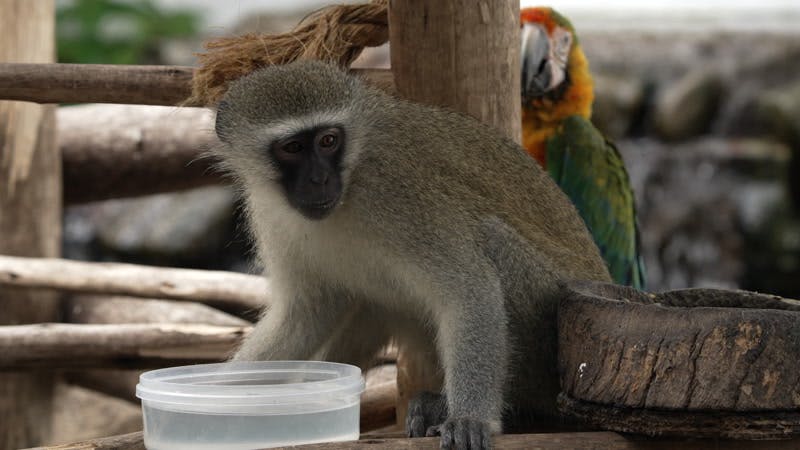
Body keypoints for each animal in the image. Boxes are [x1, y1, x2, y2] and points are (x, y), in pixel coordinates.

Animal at [211, 60, 611, 449]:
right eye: (293, 148)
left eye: (328, 141)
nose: (319, 180)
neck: (352, 178)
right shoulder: (270, 213)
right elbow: (307, 312)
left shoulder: (397, 189)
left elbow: (468, 288)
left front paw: (472, 418)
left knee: (491, 239)